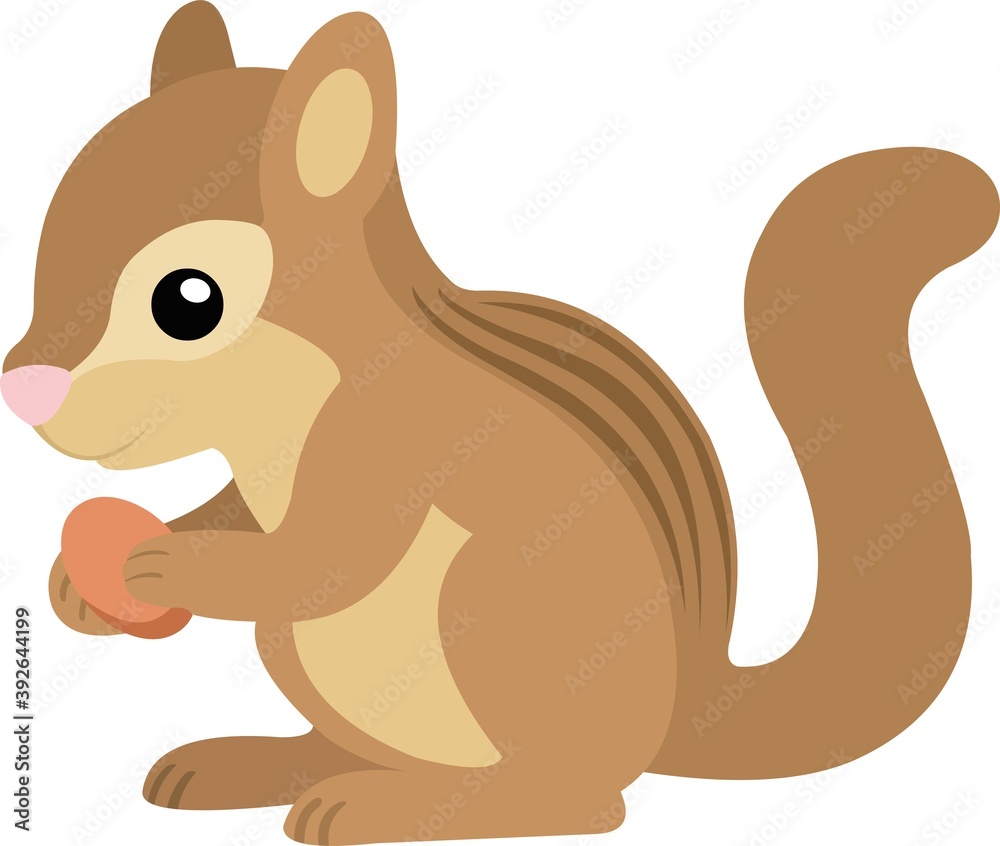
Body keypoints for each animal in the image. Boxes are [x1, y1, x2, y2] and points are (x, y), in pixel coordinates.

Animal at [2, 3, 997, 844]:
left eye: (189, 301)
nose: (23, 390)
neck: (289, 402)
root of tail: (673, 720)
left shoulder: (390, 444)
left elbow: (320, 562)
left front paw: (157, 563)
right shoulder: (258, 486)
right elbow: (239, 518)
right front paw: (76, 586)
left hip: (491, 612)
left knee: (587, 802)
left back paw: (396, 808)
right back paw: (269, 768)